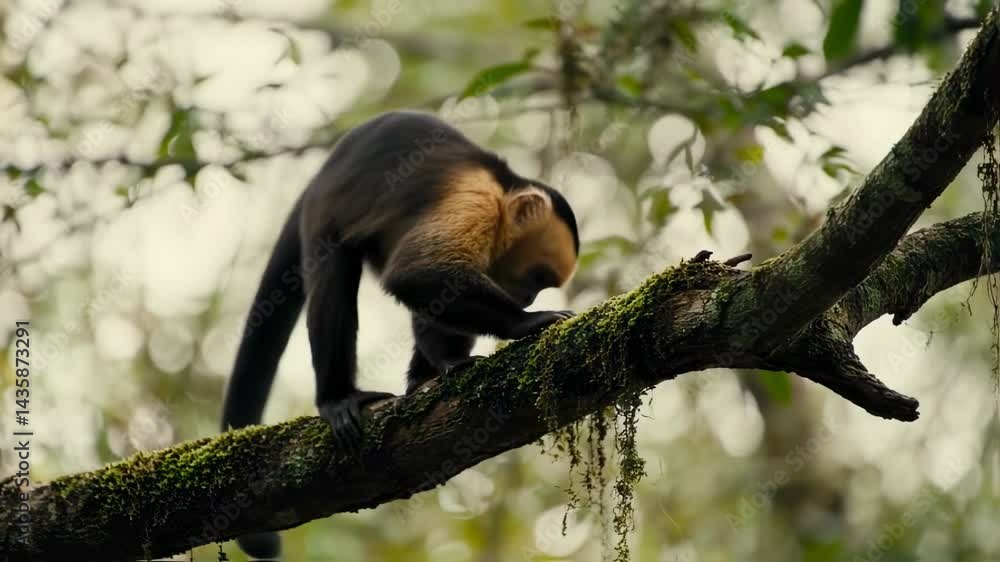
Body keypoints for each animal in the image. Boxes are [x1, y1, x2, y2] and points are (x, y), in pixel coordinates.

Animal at [219, 110, 579, 559]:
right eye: (537, 279)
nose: (527, 297)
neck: (500, 191)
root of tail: (321, 173)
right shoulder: (474, 203)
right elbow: (416, 274)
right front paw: (526, 322)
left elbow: (432, 293)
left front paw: (441, 367)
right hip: (324, 212)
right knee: (335, 274)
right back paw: (337, 398)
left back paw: (422, 375)